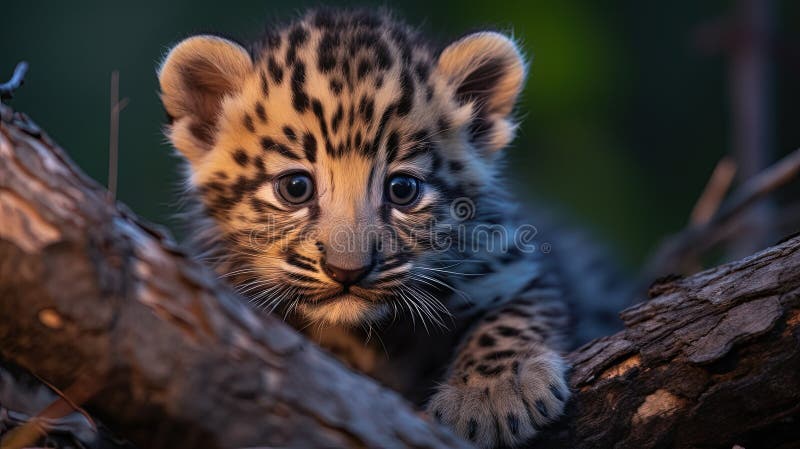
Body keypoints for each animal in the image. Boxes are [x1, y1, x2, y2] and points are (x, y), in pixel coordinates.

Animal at [158, 8, 627, 448]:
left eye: (402, 190)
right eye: (295, 188)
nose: (348, 270)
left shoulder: (514, 266)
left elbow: (516, 315)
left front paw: (494, 391)